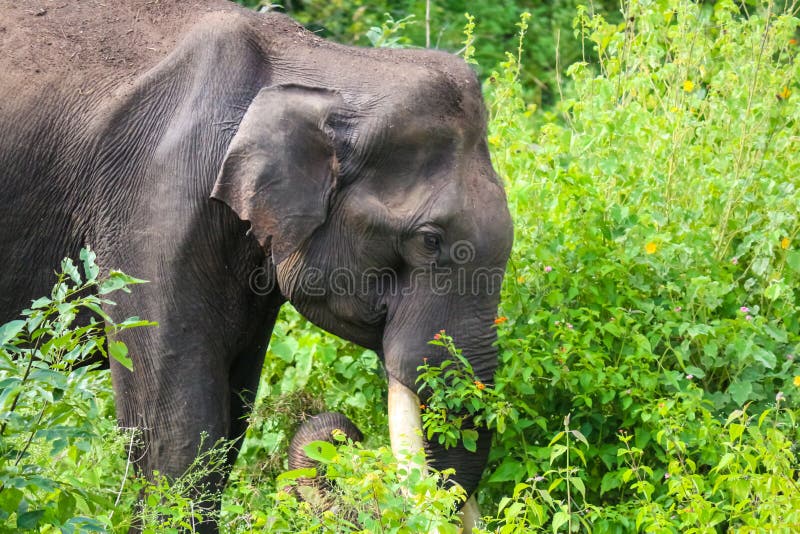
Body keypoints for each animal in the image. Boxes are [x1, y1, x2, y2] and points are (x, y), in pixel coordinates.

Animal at [0, 0, 513, 531]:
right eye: (430, 241)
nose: (342, 434)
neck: (319, 63)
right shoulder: (151, 203)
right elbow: (176, 428)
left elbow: (233, 413)